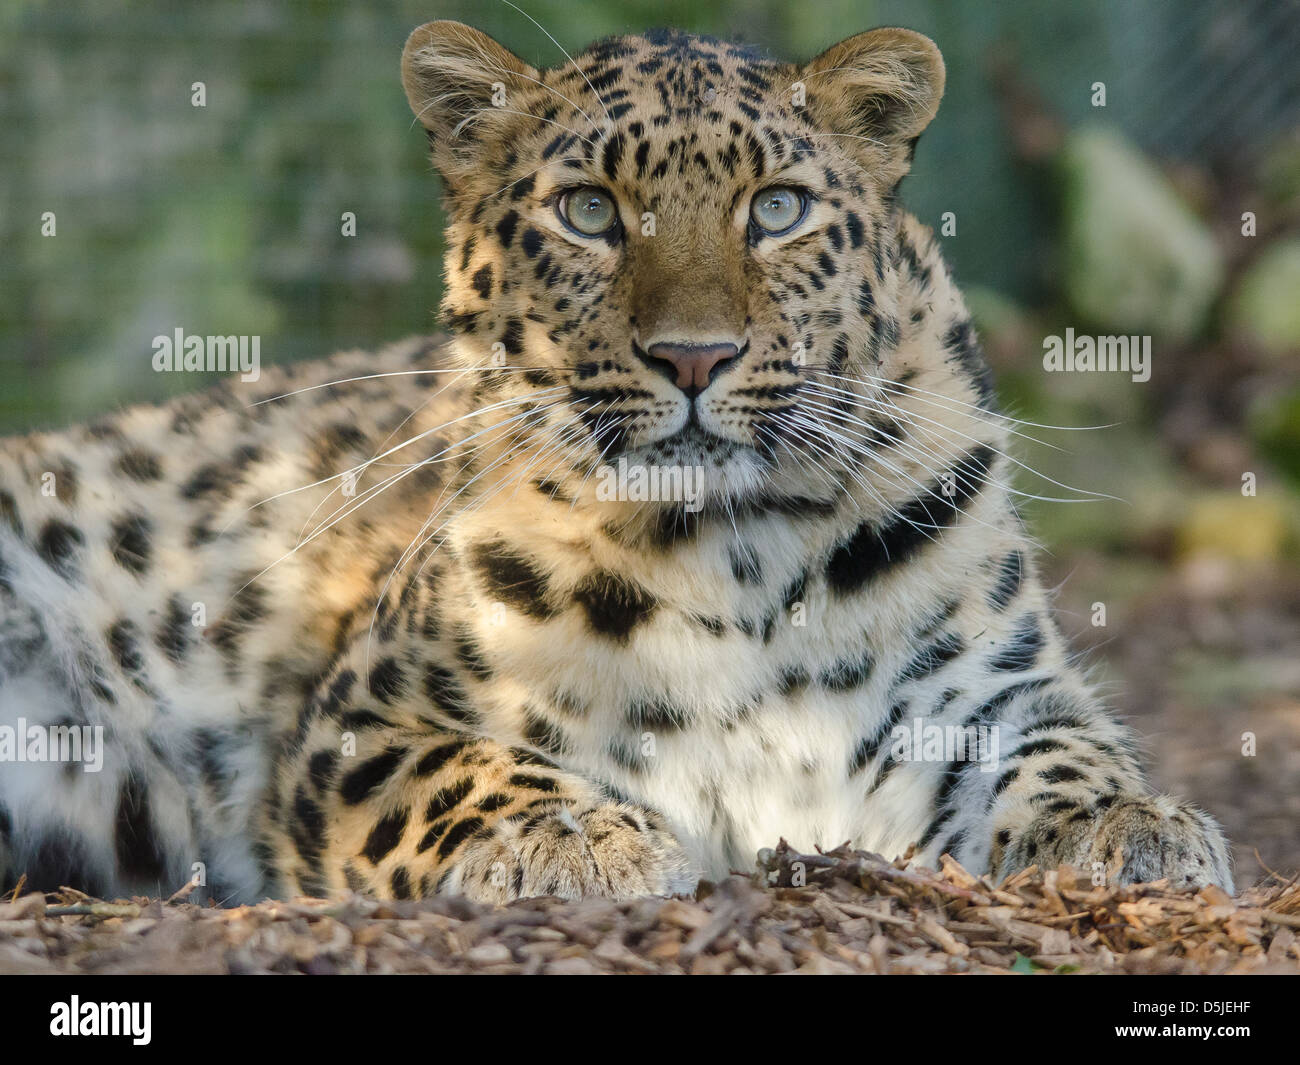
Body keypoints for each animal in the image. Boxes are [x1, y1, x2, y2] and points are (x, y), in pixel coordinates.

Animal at [0, 20, 1232, 905]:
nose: (693, 356)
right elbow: (469, 769)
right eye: (590, 211)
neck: (733, 549)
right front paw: (581, 835)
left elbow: (1064, 747)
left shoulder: (983, 688)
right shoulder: (354, 732)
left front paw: (1133, 826)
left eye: (776, 209)